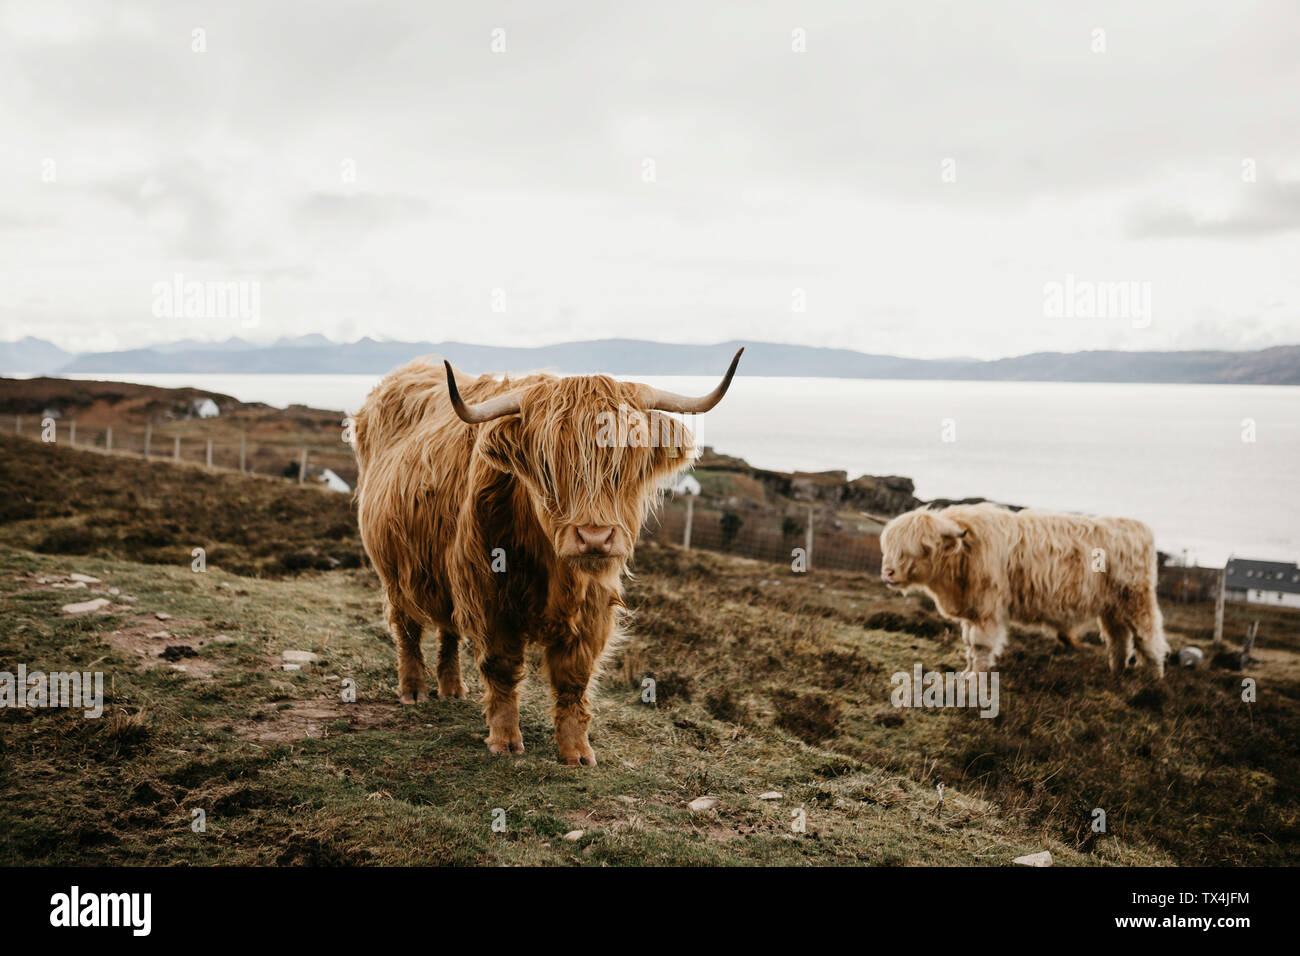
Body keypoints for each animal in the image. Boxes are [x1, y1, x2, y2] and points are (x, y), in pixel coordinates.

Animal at [352, 350, 742, 766]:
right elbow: (502, 666)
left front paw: (577, 752)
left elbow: (574, 677)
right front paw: (505, 739)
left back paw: (453, 687)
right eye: (548, 464)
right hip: (394, 570)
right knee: (407, 627)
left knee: (448, 629)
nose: (594, 537)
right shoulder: (488, 594)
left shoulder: (593, 605)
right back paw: (413, 689)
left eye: (625, 462)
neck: (554, 570)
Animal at [871, 503, 1168, 678]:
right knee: (1119, 639)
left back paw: (1152, 684)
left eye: (922, 547)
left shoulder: (987, 609)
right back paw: (1115, 675)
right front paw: (967, 674)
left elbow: (980, 645)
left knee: (1147, 638)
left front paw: (975, 680)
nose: (888, 573)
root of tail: (1137, 526)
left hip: (1136, 600)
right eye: (889, 545)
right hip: (1111, 607)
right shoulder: (971, 609)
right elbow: (968, 643)